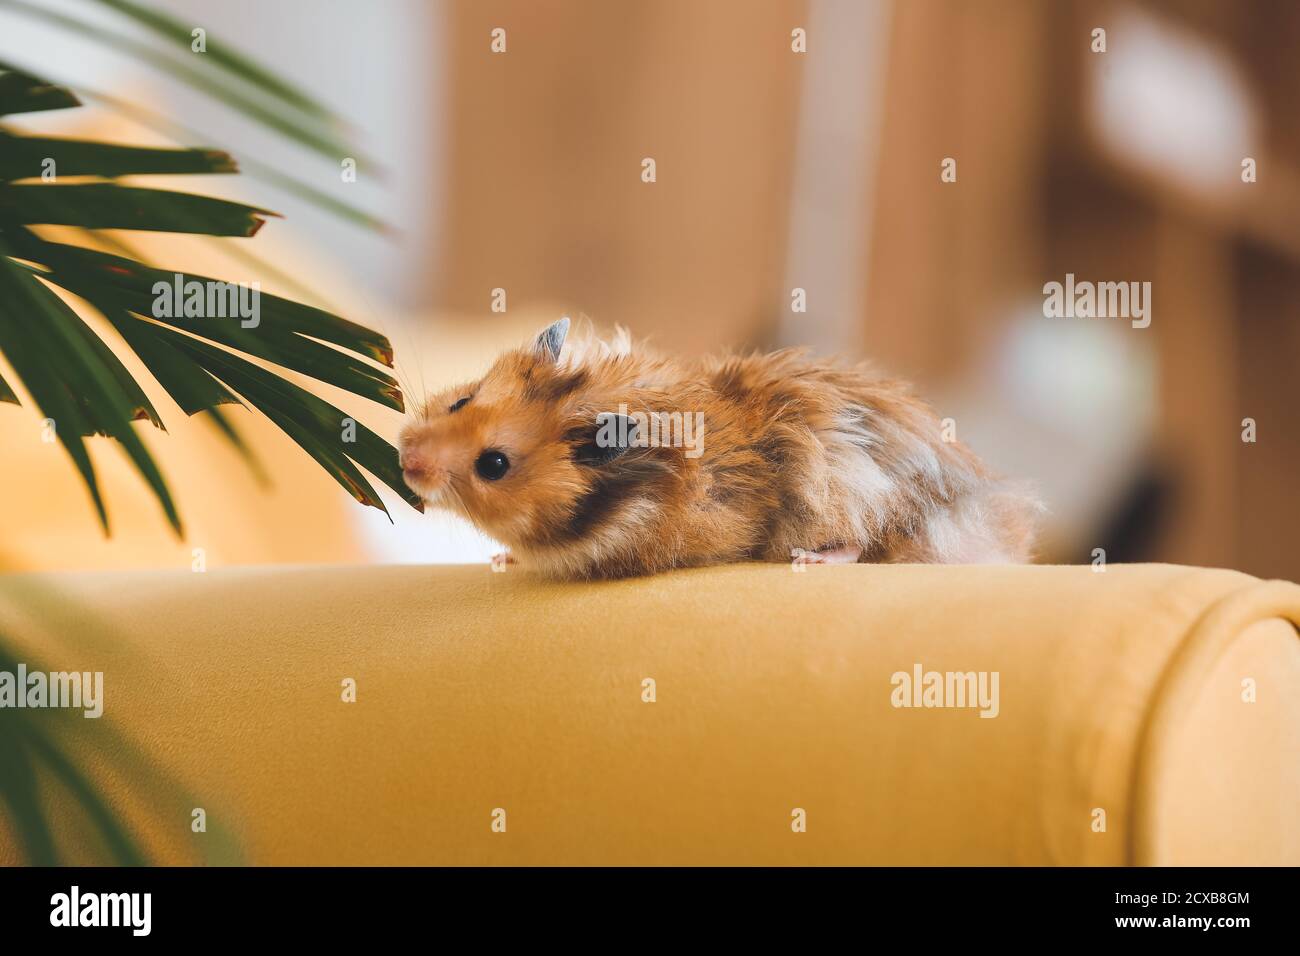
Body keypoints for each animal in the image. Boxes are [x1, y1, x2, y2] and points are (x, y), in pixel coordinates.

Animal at [398, 318, 1042, 579]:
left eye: (494, 464)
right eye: (460, 402)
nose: (405, 461)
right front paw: (499, 560)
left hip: (848, 491)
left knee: (868, 540)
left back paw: (810, 563)